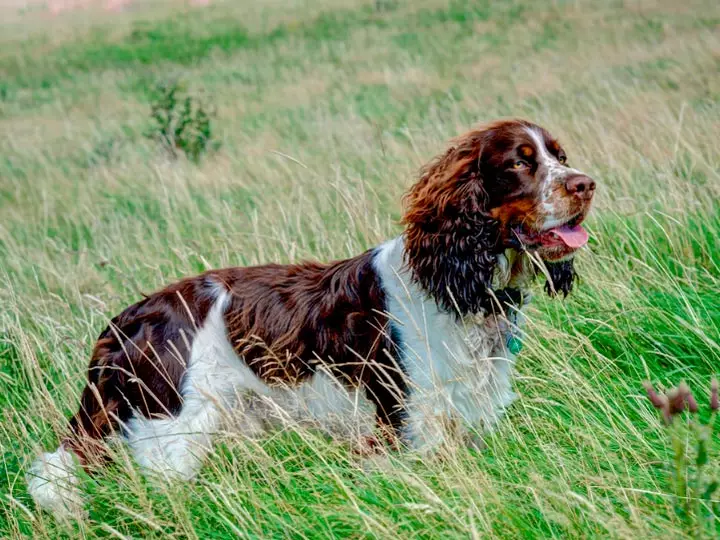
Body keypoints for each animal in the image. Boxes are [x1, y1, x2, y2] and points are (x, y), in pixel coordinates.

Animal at [28, 118, 596, 516]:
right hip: (171, 434)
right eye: (520, 163)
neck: (455, 284)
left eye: (560, 156)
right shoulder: (410, 425)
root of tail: (127, 320)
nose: (587, 184)